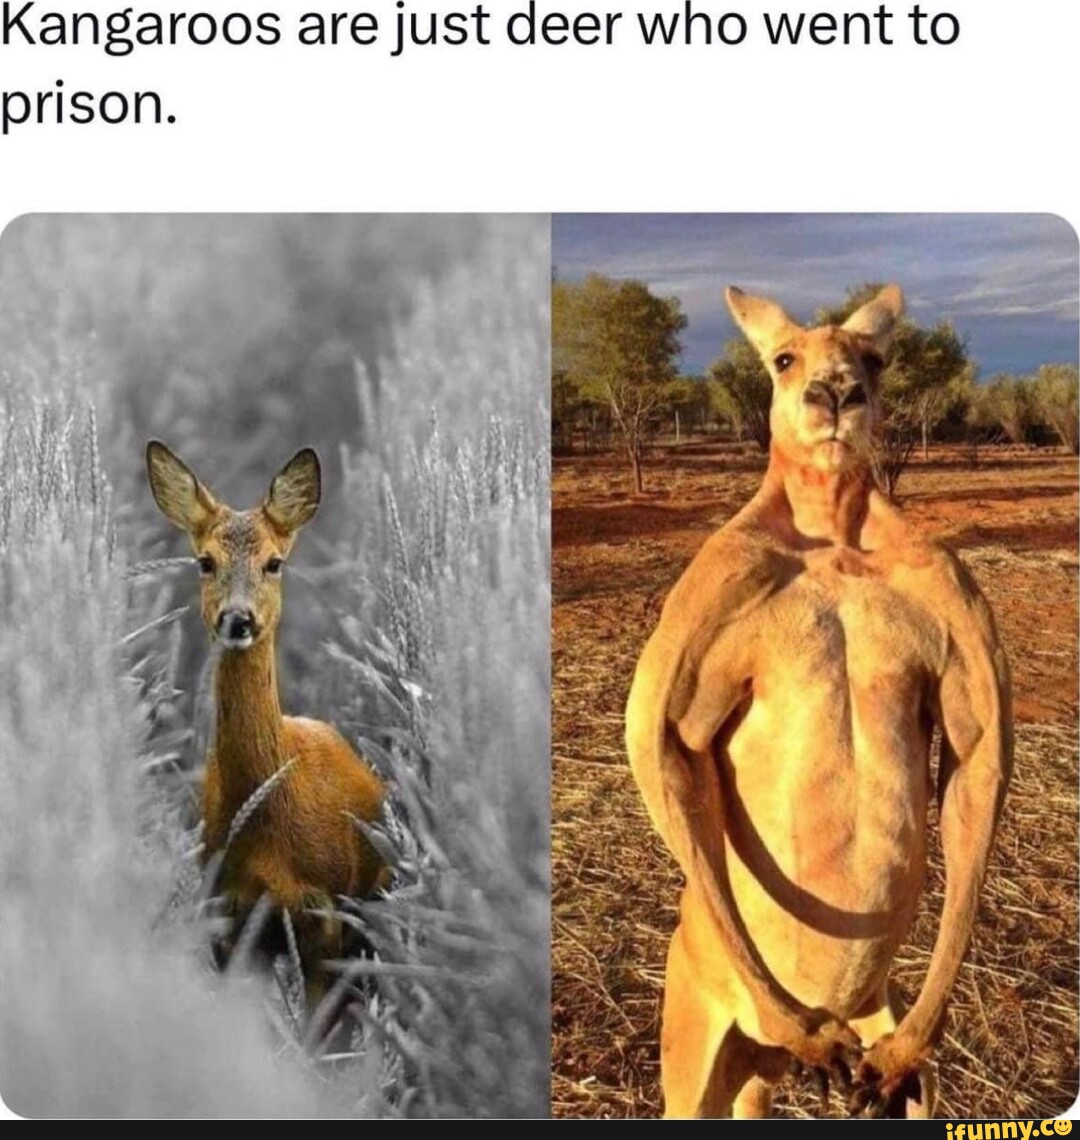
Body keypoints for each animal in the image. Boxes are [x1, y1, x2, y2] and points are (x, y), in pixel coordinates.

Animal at [625, 285, 1013, 1118]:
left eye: (874, 358)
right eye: (782, 358)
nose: (835, 393)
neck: (834, 532)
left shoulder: (951, 589)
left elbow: (976, 755)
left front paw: (911, 1042)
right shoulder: (716, 585)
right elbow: (663, 743)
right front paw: (801, 1025)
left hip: (878, 1044)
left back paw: (880, 1053)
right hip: (695, 1036)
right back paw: (803, 1031)